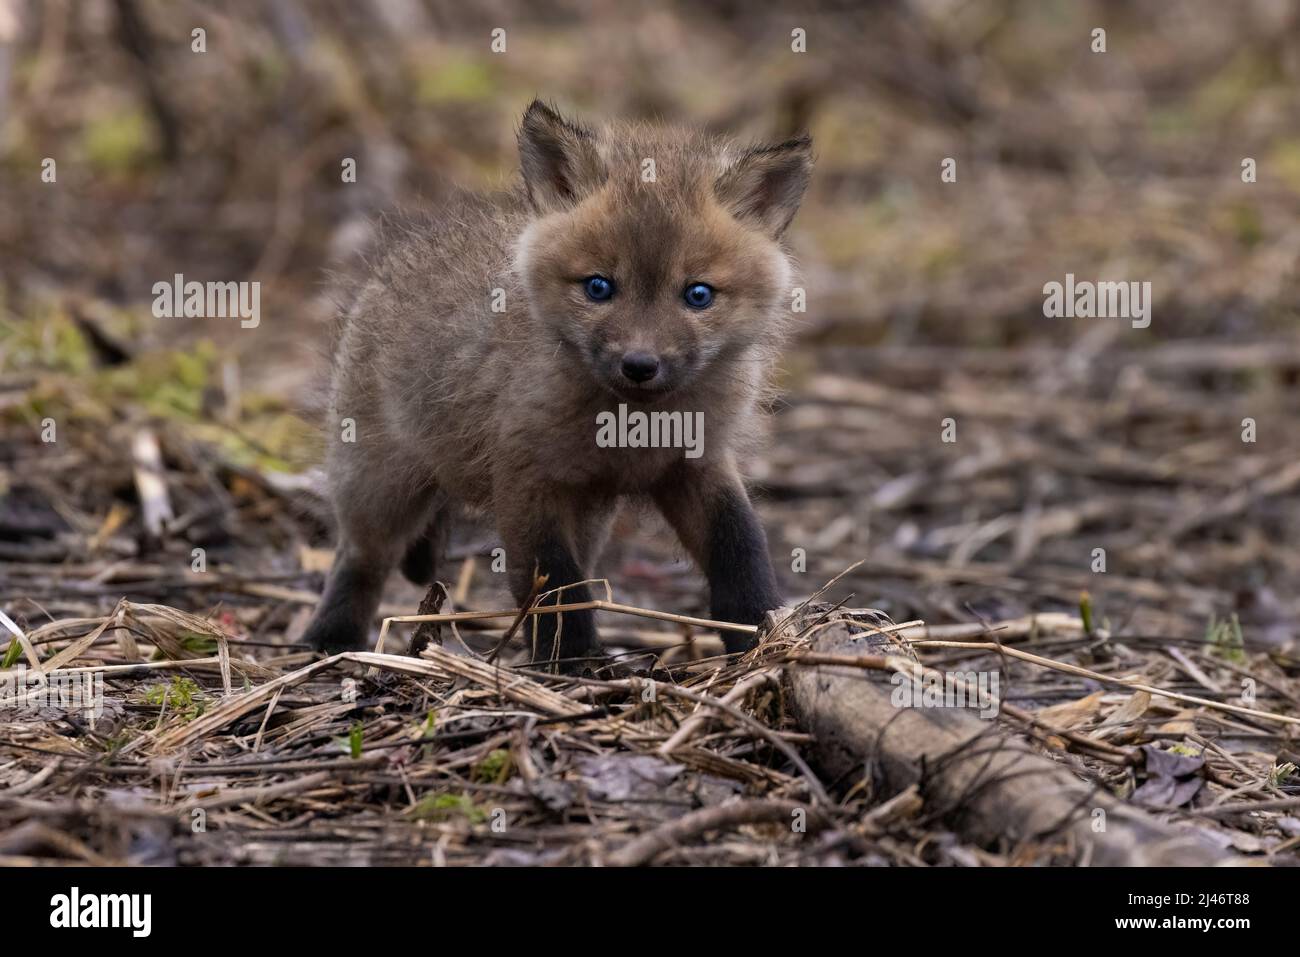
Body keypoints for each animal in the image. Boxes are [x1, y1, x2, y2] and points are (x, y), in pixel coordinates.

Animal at [303, 100, 813, 669]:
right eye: (599, 287)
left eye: (698, 294)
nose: (640, 364)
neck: (631, 430)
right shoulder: (528, 482)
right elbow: (554, 587)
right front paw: (575, 663)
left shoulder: (698, 465)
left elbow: (741, 548)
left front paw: (762, 634)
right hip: (376, 483)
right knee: (359, 557)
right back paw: (330, 640)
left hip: (590, 512)